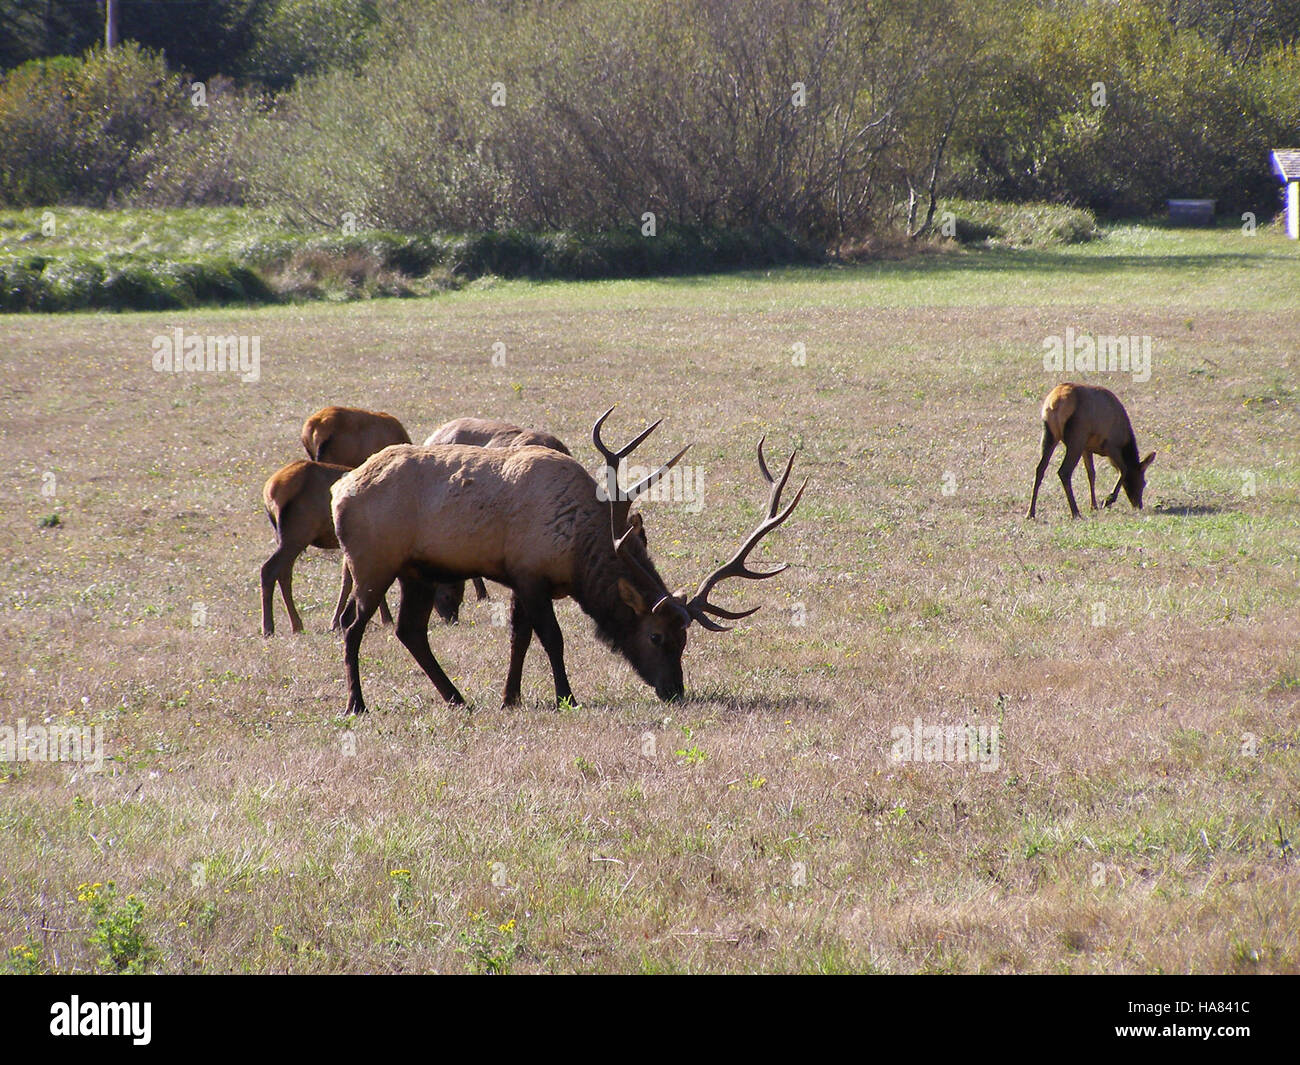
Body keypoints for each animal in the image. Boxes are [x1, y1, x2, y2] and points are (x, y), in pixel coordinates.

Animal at [260, 460, 395, 636]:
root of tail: (269, 490)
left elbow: (347, 581)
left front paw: (336, 622)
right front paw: (387, 620)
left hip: (286, 539)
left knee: (284, 574)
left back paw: (296, 625)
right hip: (296, 535)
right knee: (269, 569)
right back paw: (268, 628)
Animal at [331, 407, 806, 715]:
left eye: (684, 638)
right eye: (655, 636)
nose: (674, 690)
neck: (578, 554)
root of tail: (339, 491)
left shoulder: (519, 578)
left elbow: (519, 637)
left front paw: (510, 698)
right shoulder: (529, 573)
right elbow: (552, 638)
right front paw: (566, 697)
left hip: (417, 573)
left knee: (410, 630)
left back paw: (456, 698)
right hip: (371, 563)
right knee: (353, 625)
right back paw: (356, 704)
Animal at [1028, 383, 1155, 519]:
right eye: (1143, 482)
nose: (1139, 505)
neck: (1125, 443)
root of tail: (1055, 402)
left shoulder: (1087, 448)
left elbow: (1091, 474)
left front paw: (1093, 506)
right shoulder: (1111, 446)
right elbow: (1123, 469)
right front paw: (1107, 500)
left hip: (1050, 435)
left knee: (1040, 469)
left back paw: (1030, 513)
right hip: (1076, 437)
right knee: (1064, 471)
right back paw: (1075, 512)